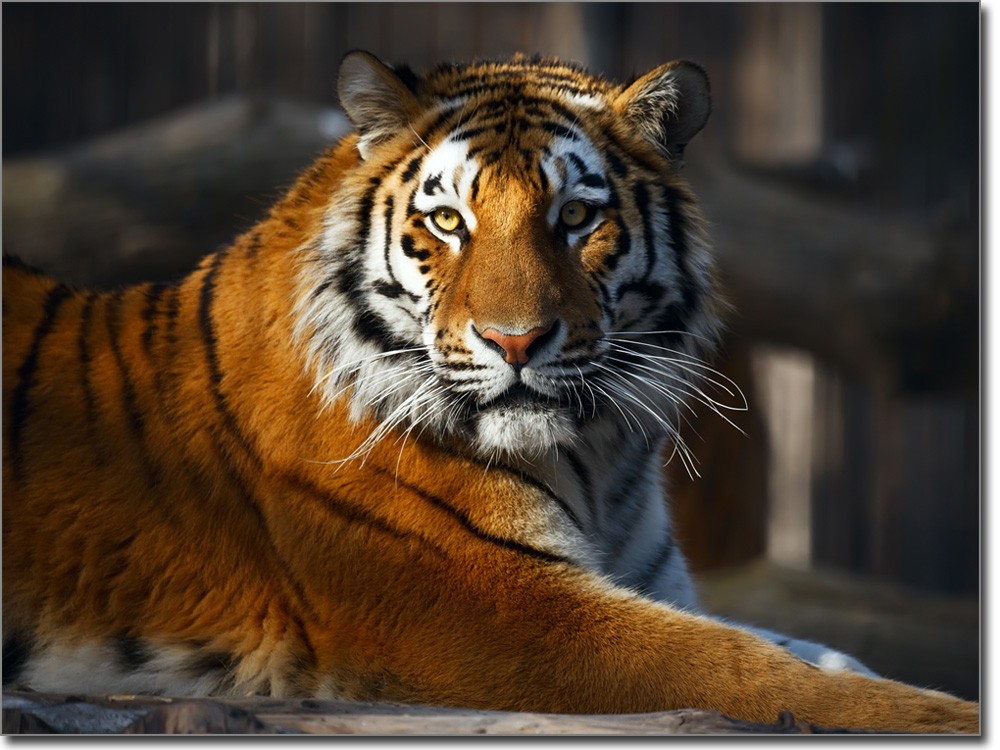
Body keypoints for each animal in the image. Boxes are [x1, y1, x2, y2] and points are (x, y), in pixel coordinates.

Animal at [2, 51, 977, 733]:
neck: (595, 460)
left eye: (576, 217)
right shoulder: (501, 612)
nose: (514, 341)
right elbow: (762, 677)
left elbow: (824, 658)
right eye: (446, 221)